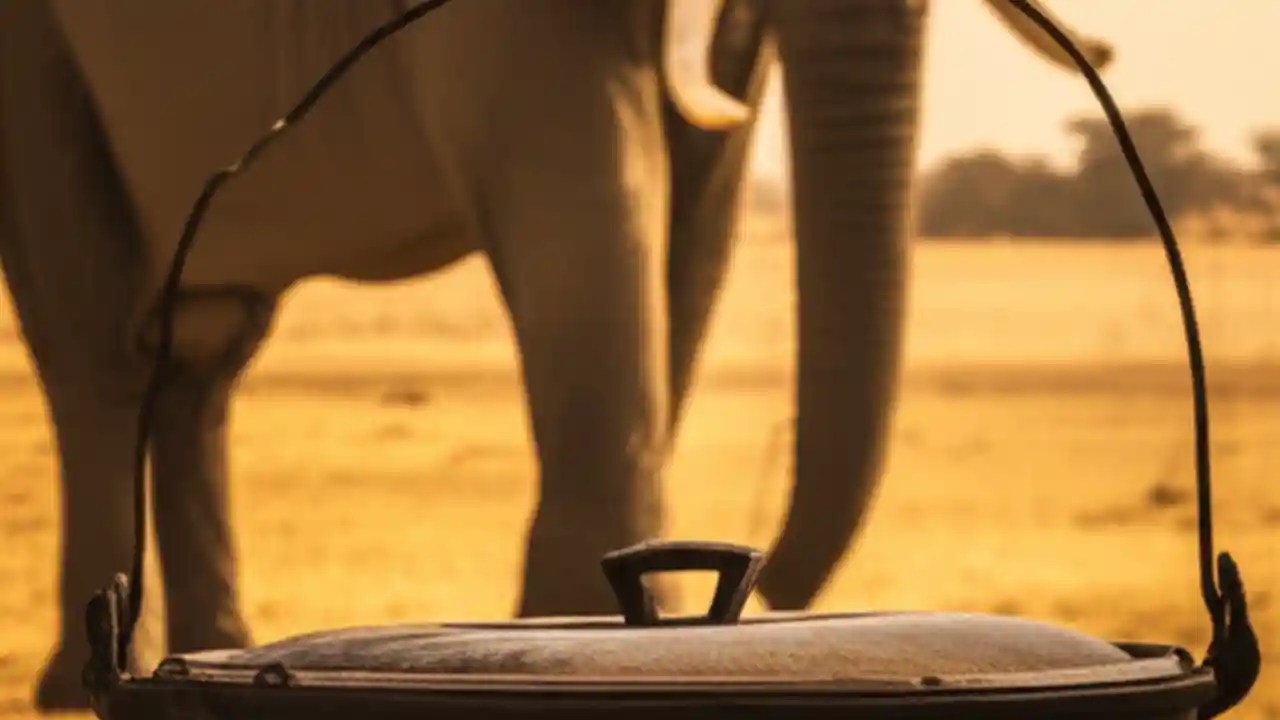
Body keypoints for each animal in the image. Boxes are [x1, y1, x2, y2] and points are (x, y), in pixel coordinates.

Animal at [0, 0, 1110, 710]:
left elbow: (695, 222)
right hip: (42, 50)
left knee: (202, 359)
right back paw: (83, 677)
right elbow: (592, 198)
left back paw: (203, 639)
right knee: (106, 338)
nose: (778, 590)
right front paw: (566, 607)